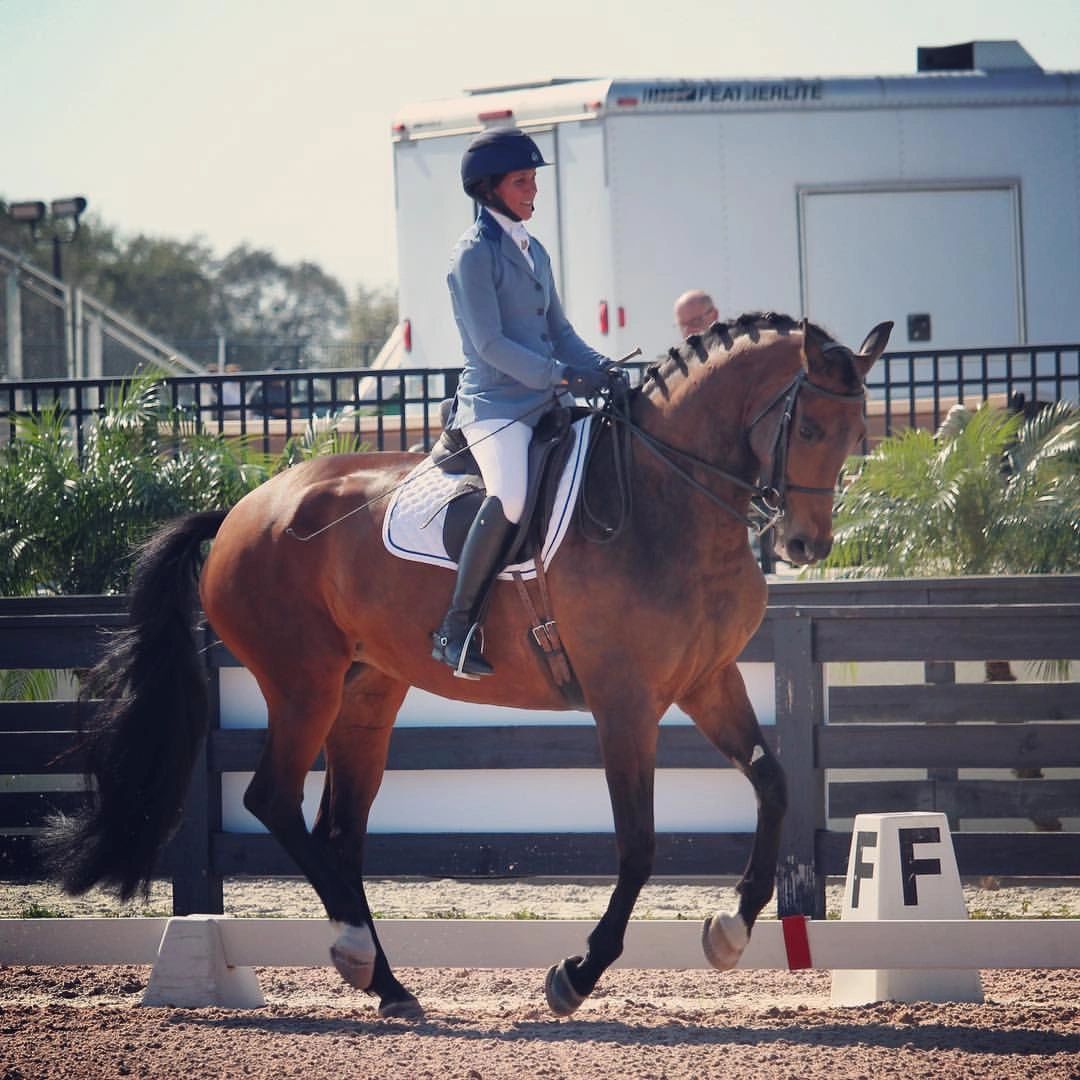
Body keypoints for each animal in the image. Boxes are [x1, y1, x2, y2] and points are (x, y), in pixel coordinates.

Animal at [45, 311, 891, 1019]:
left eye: (859, 434)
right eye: (811, 423)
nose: (806, 544)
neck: (668, 502)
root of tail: (243, 511)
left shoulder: (708, 681)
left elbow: (774, 786)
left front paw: (728, 929)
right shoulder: (625, 704)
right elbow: (639, 843)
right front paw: (576, 974)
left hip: (368, 693)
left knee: (338, 830)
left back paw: (388, 983)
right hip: (302, 685)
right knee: (272, 800)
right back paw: (358, 952)